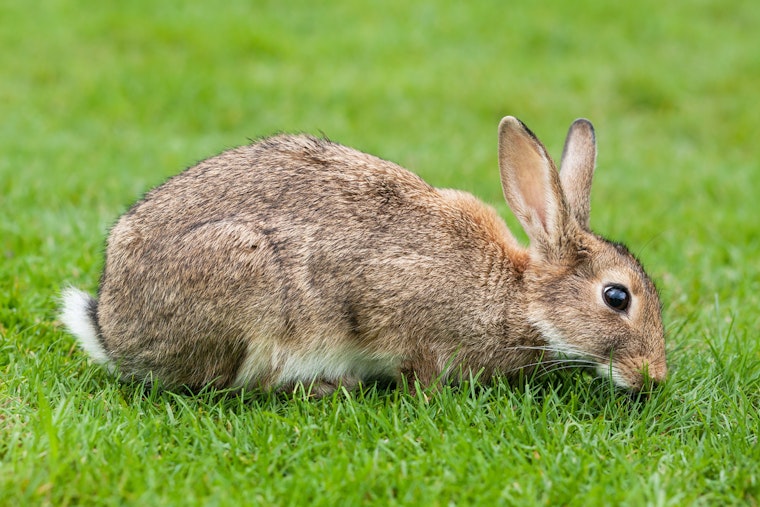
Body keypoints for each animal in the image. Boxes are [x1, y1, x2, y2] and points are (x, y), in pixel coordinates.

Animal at [61, 116, 667, 395]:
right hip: (246, 288)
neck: (520, 296)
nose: (654, 377)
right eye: (617, 297)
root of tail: (112, 329)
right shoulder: (397, 308)